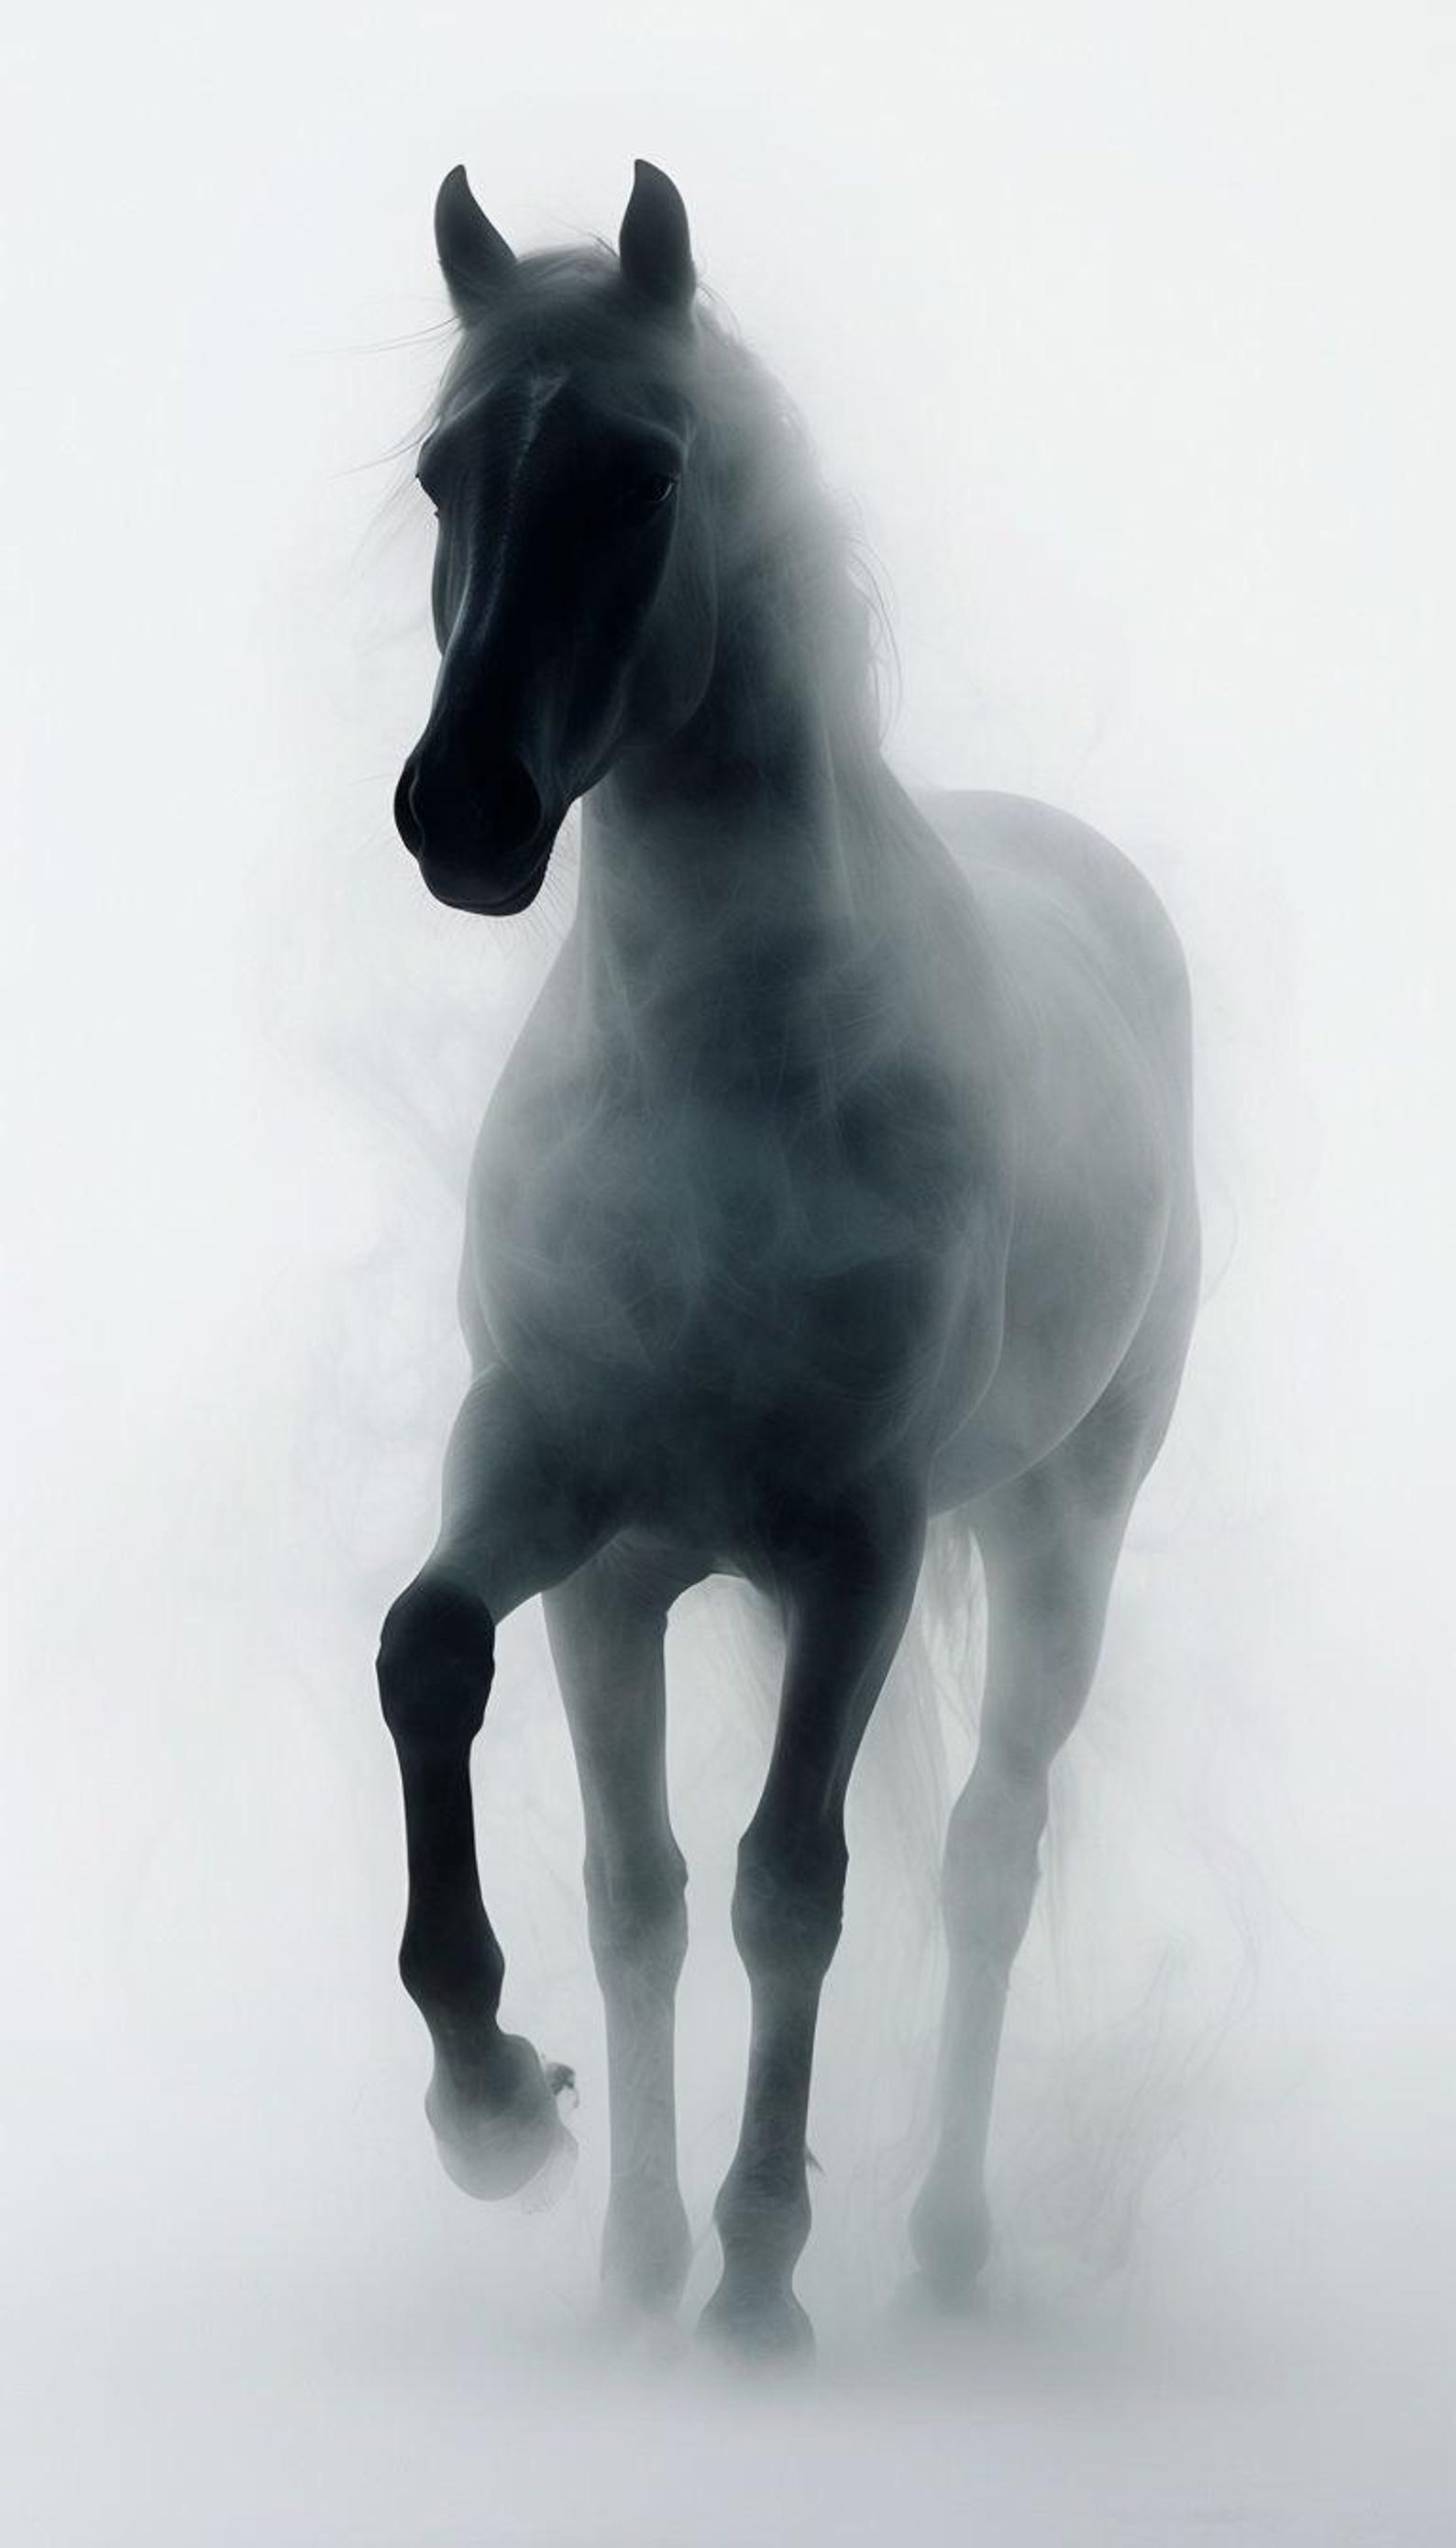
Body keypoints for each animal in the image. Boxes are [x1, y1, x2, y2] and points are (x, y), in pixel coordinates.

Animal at [376, 159, 1201, 2359]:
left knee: (986, 1854)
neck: (716, 1085)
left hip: (1059, 1526)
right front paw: (516, 2128)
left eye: (644, 474)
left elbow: (788, 1891)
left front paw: (754, 2274)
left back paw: (939, 2241)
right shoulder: (561, 1503)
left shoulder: (855, 1542)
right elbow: (515, 1755)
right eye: (443, 476)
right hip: (655, 1578)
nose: (461, 810)